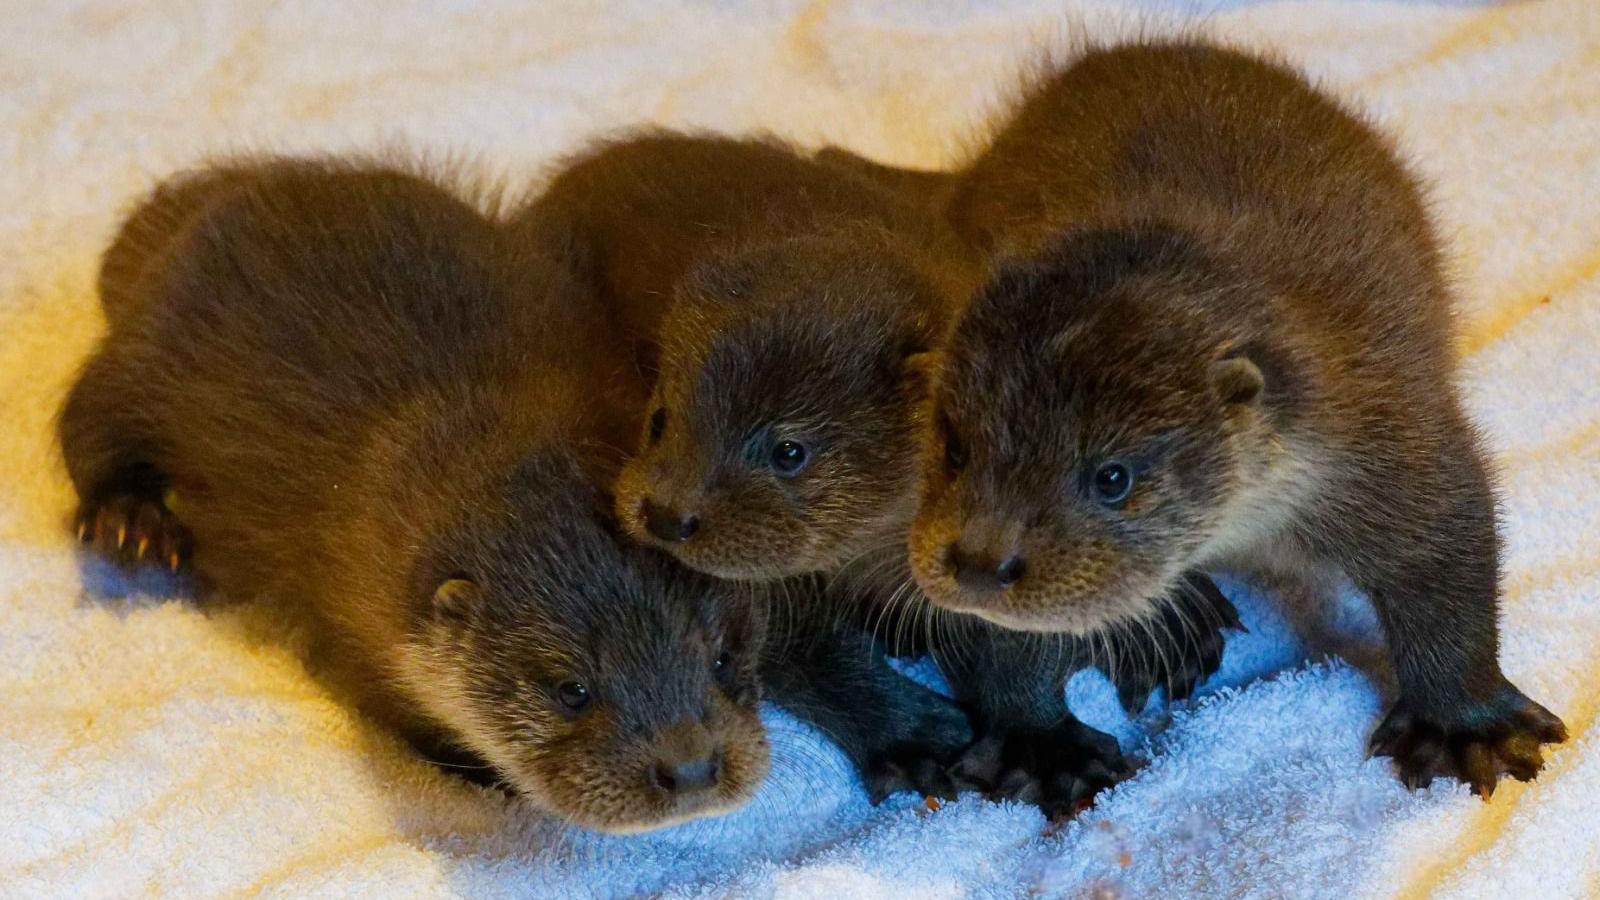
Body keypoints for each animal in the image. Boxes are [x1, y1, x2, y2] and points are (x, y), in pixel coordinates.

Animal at [521, 133, 1241, 815]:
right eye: (661, 418)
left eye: (789, 451)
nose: (667, 514)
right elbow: (819, 661)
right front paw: (915, 740)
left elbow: (1016, 640)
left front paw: (1044, 747)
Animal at [910, 40, 1567, 797]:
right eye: (956, 449)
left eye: (1112, 478)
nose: (979, 564)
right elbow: (1005, 640)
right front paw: (1039, 744)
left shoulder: (1378, 430)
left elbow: (1444, 552)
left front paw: (1467, 727)